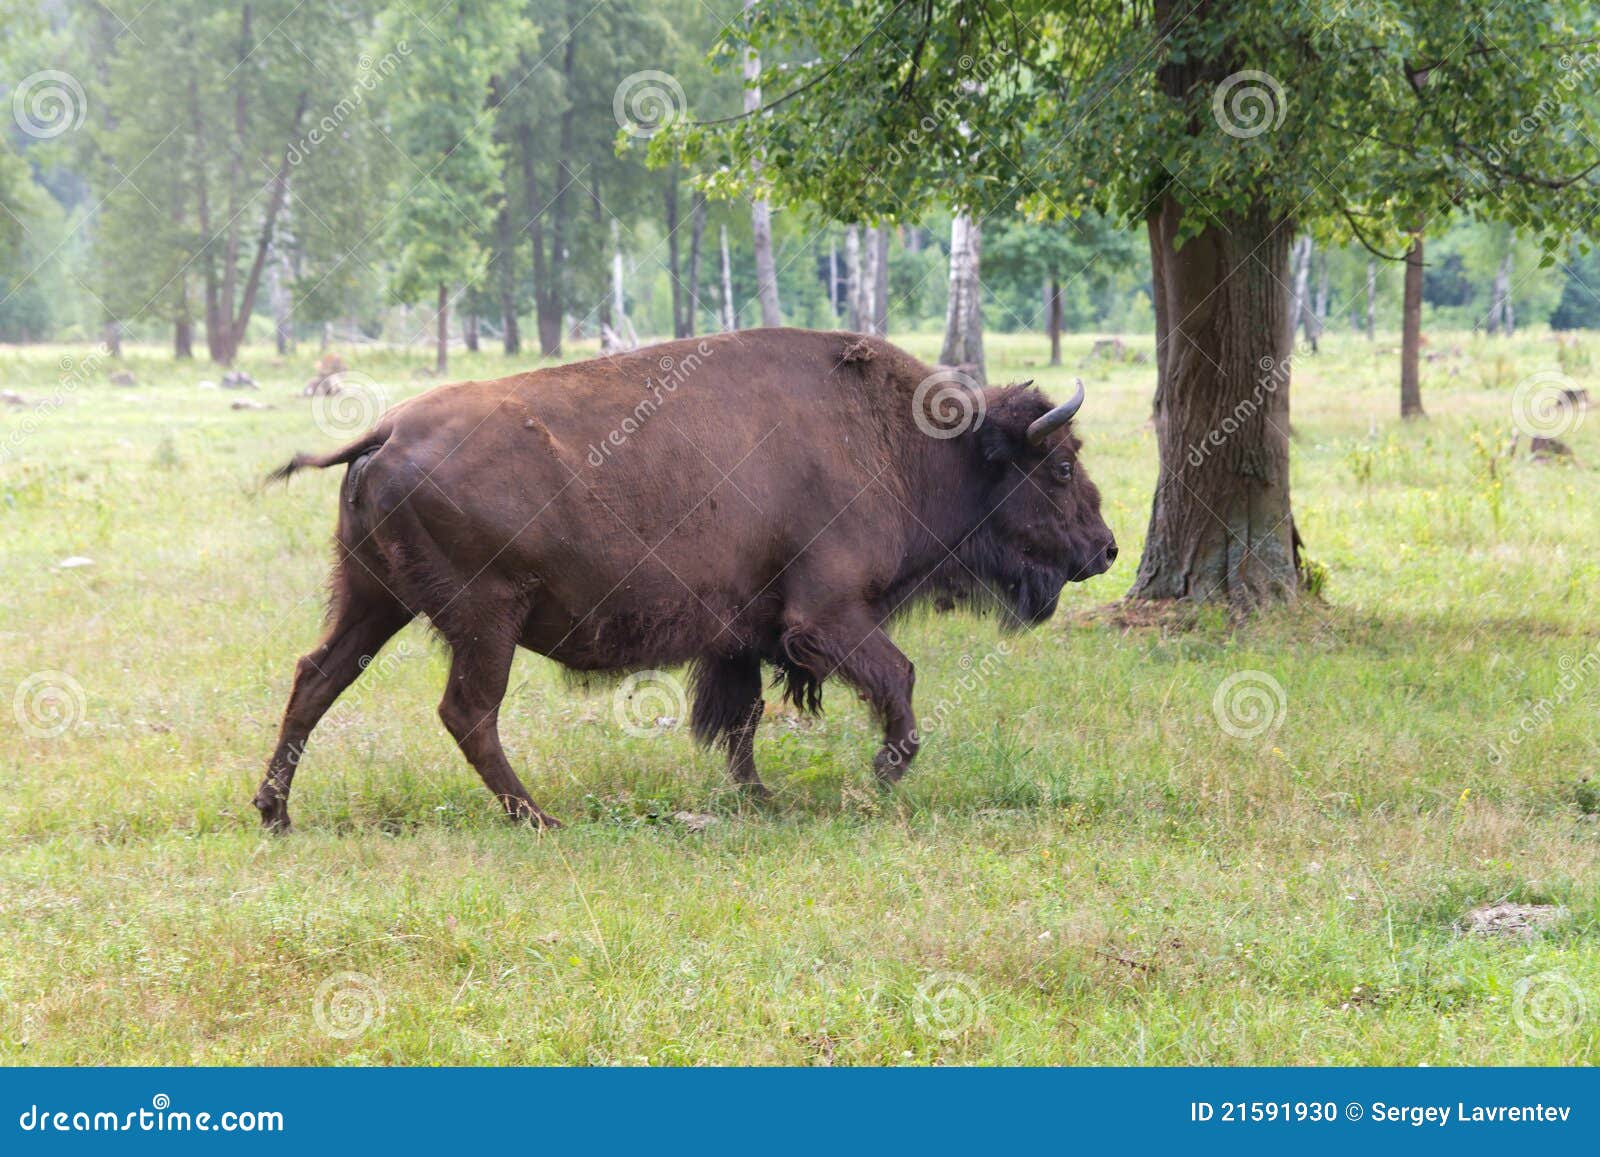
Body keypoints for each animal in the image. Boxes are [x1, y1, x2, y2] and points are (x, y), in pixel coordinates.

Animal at [257, 328, 1116, 830]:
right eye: (1060, 466)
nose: (1105, 549)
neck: (904, 441)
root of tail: (385, 429)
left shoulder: (744, 635)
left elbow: (740, 717)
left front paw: (758, 797)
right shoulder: (827, 616)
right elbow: (896, 681)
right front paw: (879, 777)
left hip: (373, 600)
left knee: (316, 678)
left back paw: (274, 812)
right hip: (484, 618)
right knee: (466, 711)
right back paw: (538, 817)